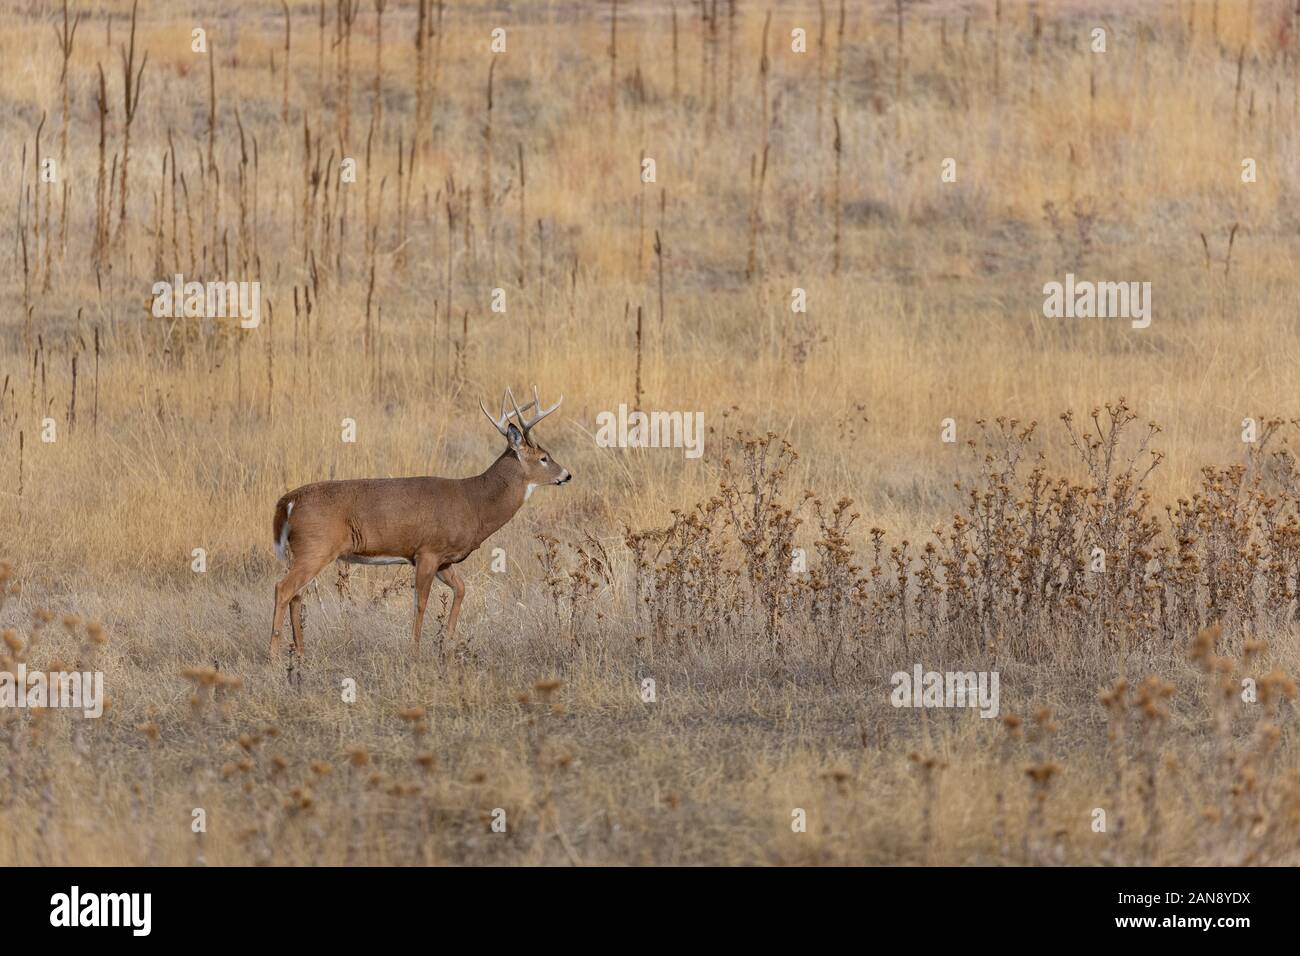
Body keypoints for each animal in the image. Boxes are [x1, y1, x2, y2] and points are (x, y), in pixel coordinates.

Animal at [268, 386, 571, 657]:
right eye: (544, 458)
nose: (567, 475)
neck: (475, 504)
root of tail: (288, 501)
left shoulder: (444, 559)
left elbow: (461, 590)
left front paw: (447, 642)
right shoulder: (427, 551)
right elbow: (421, 603)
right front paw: (415, 652)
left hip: (306, 552)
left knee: (297, 594)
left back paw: (300, 653)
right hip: (315, 547)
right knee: (283, 589)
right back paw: (274, 657)